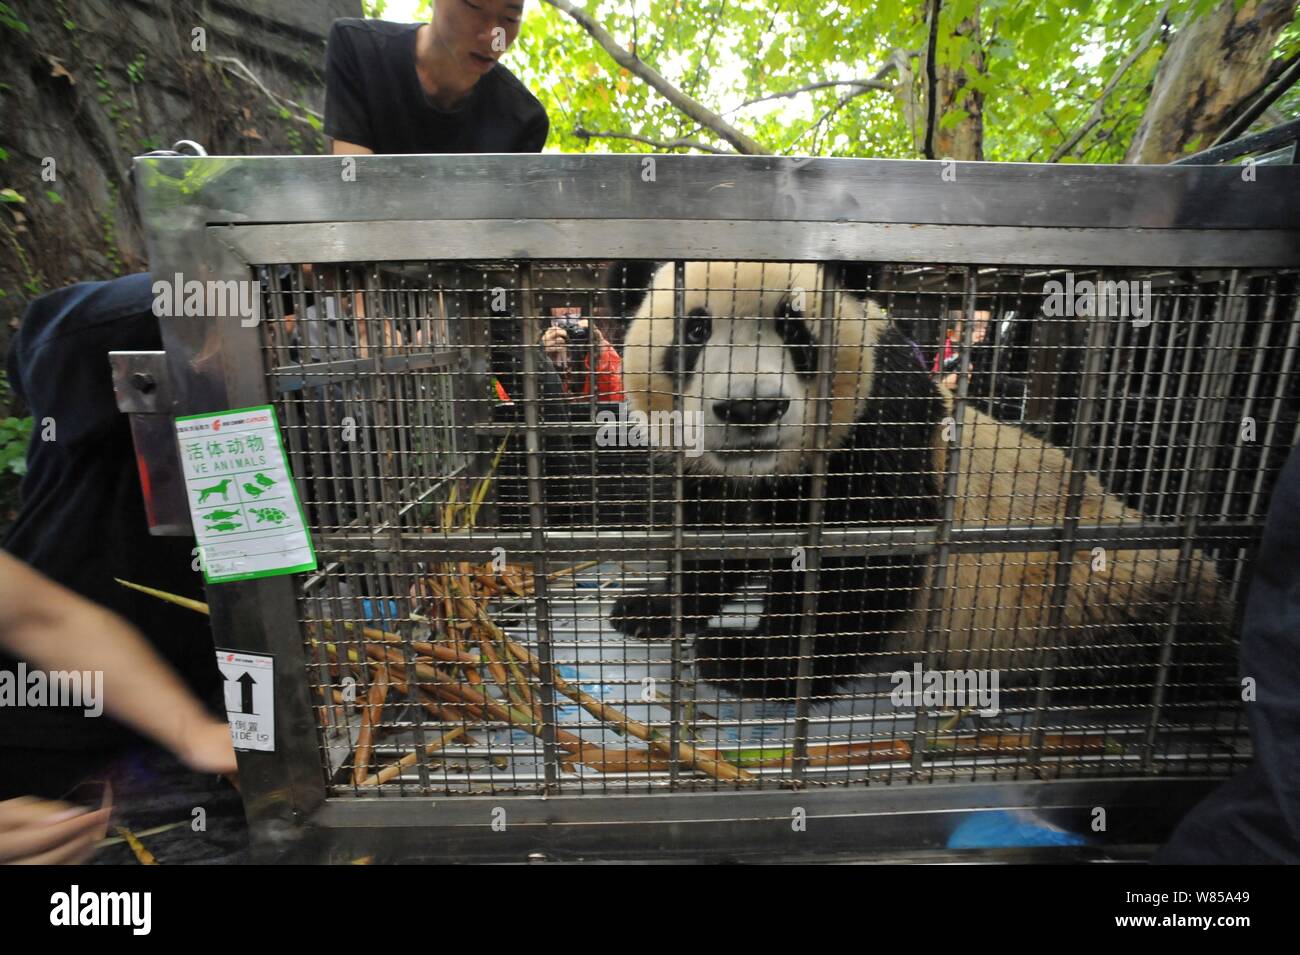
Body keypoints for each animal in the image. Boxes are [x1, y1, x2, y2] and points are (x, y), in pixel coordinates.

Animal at [606, 260, 1231, 701]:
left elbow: (865, 555)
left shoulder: (877, 420)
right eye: (695, 331)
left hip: (1094, 577)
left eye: (795, 328)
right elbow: (718, 535)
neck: (771, 468)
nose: (751, 409)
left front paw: (747, 659)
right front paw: (651, 609)